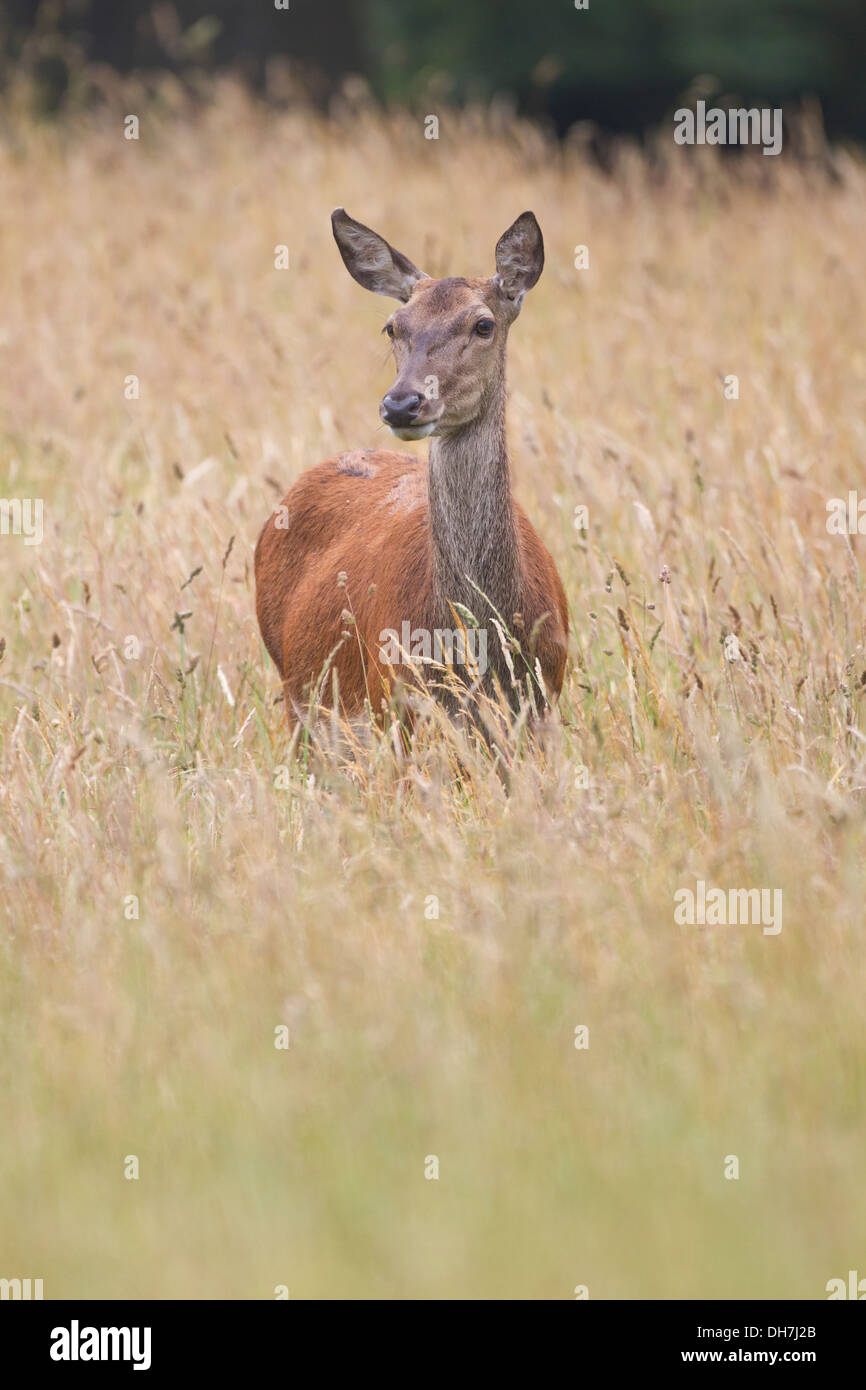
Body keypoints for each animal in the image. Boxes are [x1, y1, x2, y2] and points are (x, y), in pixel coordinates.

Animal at [255, 209, 569, 727]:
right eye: (392, 327)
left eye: (483, 324)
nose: (402, 404)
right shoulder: (394, 702)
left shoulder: (544, 703)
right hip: (296, 691)